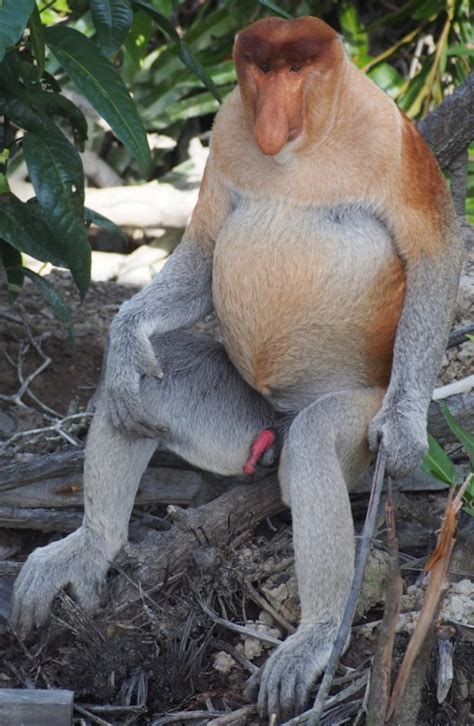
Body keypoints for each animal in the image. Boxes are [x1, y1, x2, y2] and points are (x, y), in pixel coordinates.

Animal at [11, 16, 462, 721]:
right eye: (262, 71)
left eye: (297, 71)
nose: (272, 120)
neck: (305, 148)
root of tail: (274, 418)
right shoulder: (228, 127)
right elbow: (202, 246)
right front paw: (126, 336)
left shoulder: (392, 137)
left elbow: (436, 252)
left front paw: (408, 432)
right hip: (235, 415)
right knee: (145, 385)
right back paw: (94, 540)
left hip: (355, 404)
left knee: (313, 443)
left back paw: (315, 637)